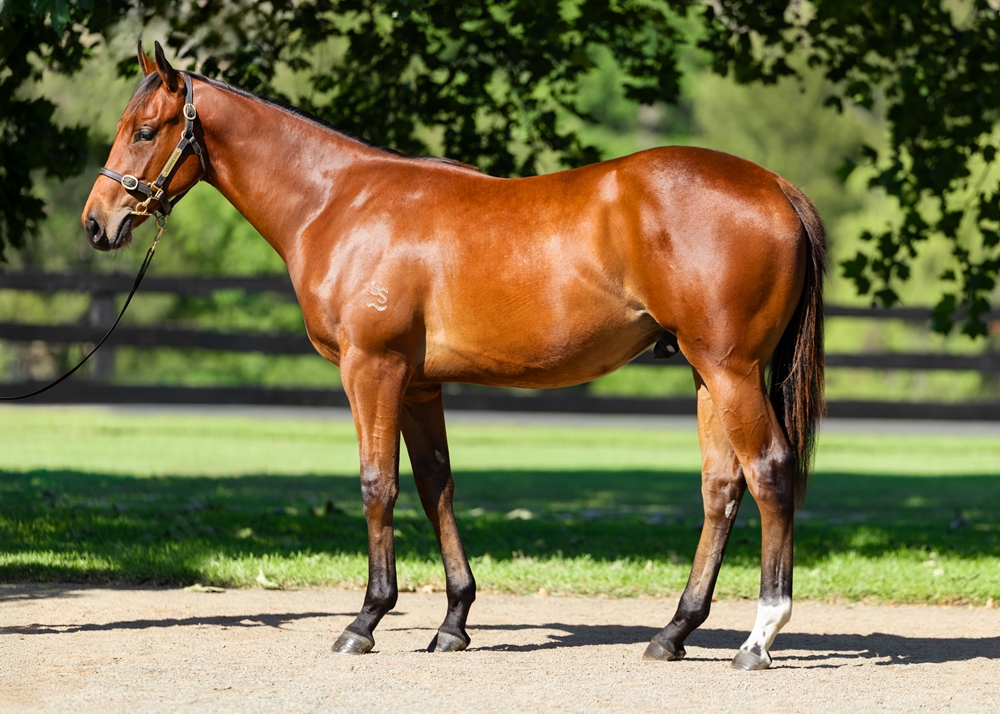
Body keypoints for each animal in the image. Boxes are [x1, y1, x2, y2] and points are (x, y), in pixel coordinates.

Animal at [83, 42, 825, 670]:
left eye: (145, 129)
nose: (97, 222)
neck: (339, 200)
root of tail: (775, 186)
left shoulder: (372, 369)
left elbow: (377, 484)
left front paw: (365, 621)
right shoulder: (418, 385)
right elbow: (435, 484)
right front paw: (453, 622)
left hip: (730, 371)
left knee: (769, 471)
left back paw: (759, 637)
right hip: (706, 374)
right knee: (721, 488)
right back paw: (673, 632)